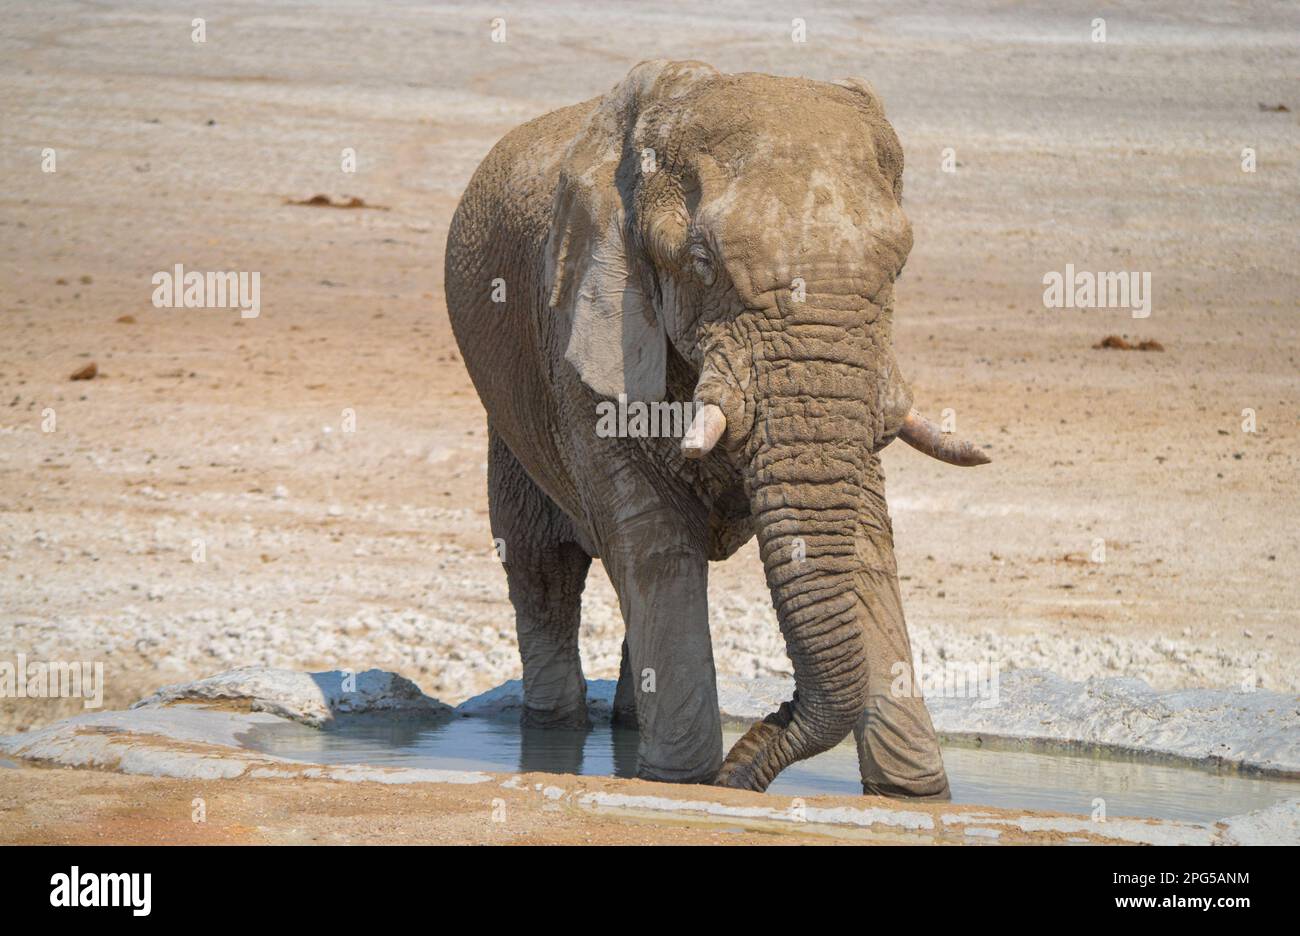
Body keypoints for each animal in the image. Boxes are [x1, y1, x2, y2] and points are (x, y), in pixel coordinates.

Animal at [444, 60, 989, 798]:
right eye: (702, 262)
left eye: (900, 268)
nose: (746, 757)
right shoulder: (587, 332)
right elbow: (653, 538)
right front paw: (683, 782)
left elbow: (864, 537)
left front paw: (913, 794)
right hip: (511, 410)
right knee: (543, 565)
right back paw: (556, 734)